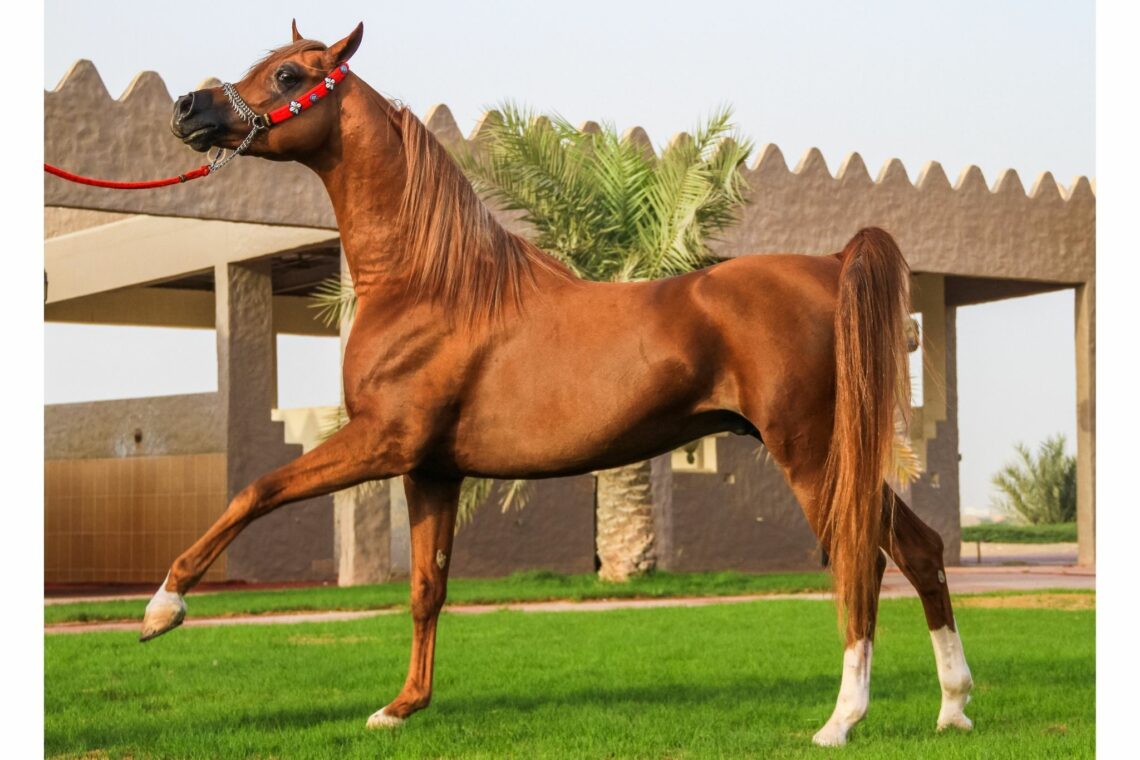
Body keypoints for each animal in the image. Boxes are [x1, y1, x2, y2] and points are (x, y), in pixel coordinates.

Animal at [143, 21, 974, 746]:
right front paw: (402, 707)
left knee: (861, 560)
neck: (434, 283)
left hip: (812, 453)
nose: (188, 109)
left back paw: (841, 721)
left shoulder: (381, 443)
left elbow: (255, 490)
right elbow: (425, 588)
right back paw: (953, 709)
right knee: (921, 549)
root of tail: (831, 264)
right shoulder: (431, 470)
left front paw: (163, 607)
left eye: (288, 76)